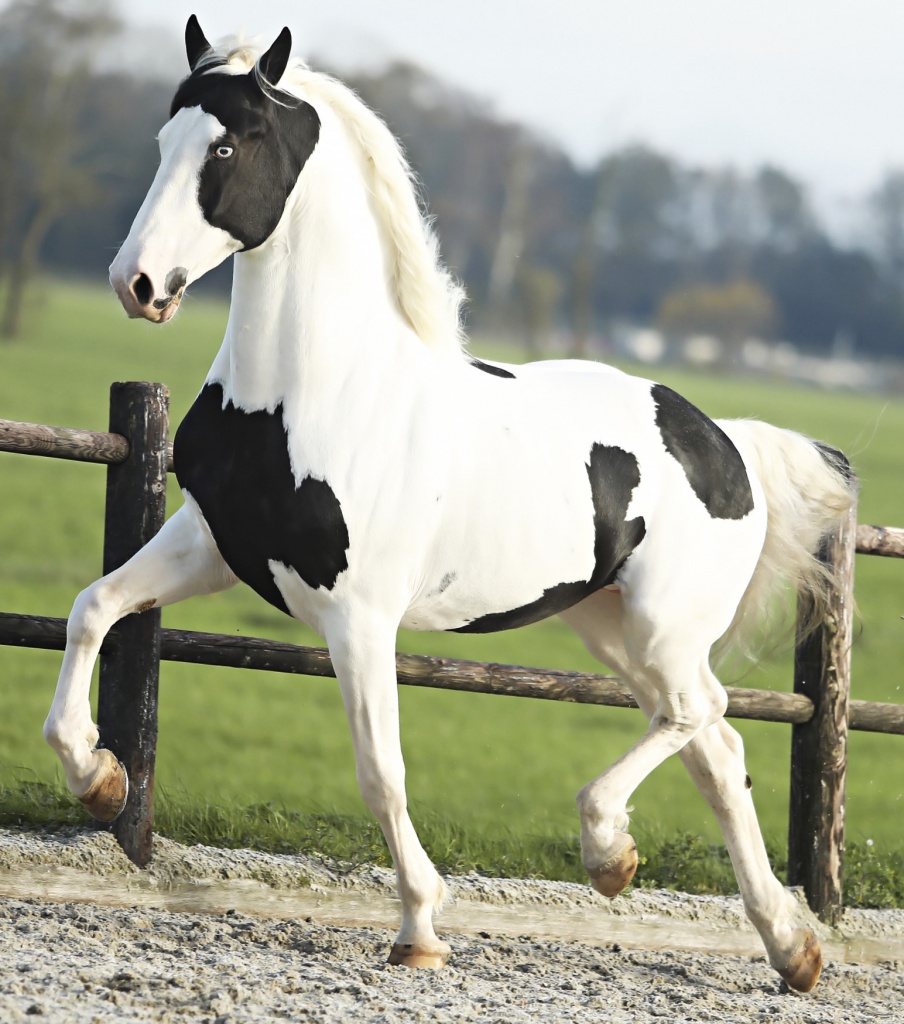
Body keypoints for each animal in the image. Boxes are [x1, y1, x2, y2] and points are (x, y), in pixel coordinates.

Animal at [43, 16, 855, 993]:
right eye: (164, 139)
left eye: (227, 146)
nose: (138, 283)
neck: (313, 392)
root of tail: (725, 442)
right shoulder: (209, 546)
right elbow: (94, 607)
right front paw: (97, 775)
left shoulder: (359, 615)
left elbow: (381, 771)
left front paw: (422, 928)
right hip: (613, 629)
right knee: (715, 747)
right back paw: (782, 941)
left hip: (662, 628)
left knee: (701, 716)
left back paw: (611, 849)